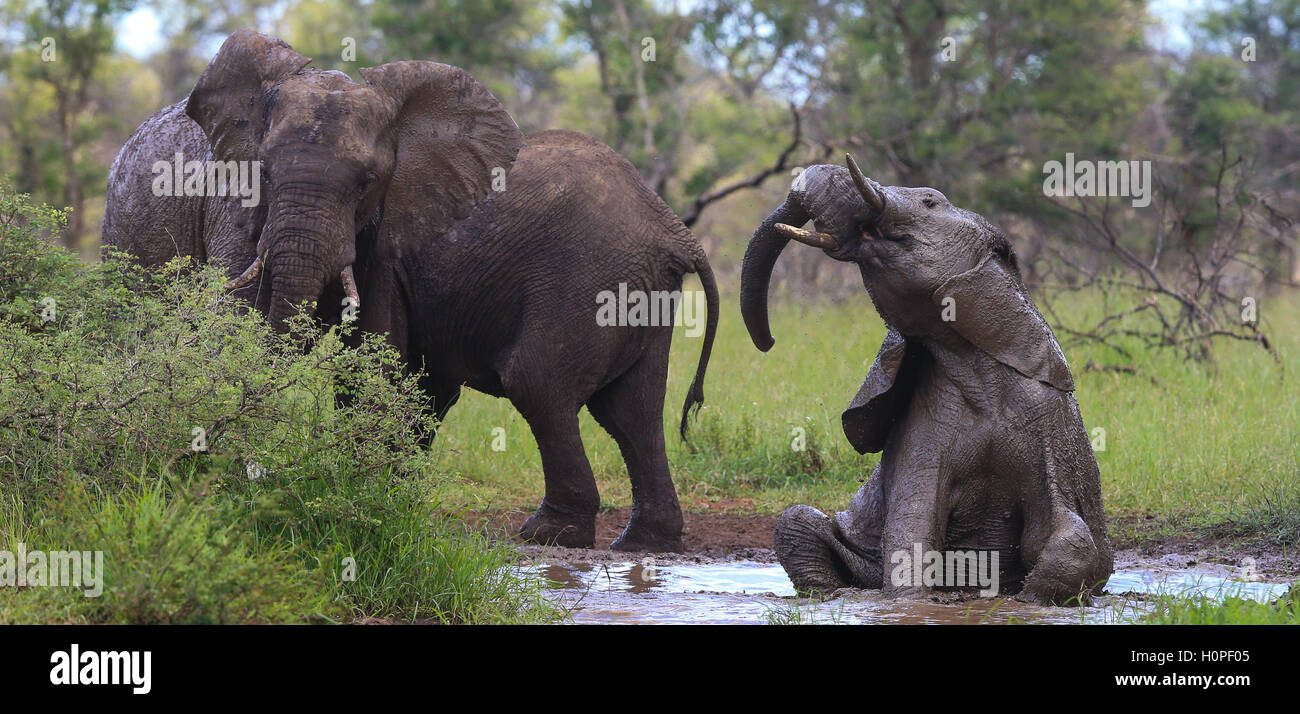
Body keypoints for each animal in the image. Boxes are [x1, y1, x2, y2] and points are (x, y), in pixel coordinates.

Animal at [101, 30, 719, 553]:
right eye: (267, 175)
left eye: (367, 183)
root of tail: (673, 230)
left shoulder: (389, 233)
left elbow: (378, 366)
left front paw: (370, 497)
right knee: (632, 410)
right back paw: (643, 544)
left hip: (590, 281)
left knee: (542, 384)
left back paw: (548, 536)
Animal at [740, 155, 1112, 604]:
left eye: (930, 201)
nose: (768, 341)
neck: (974, 366)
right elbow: (911, 527)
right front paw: (911, 604)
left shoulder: (1048, 422)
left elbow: (1074, 540)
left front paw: (1027, 600)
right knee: (796, 521)